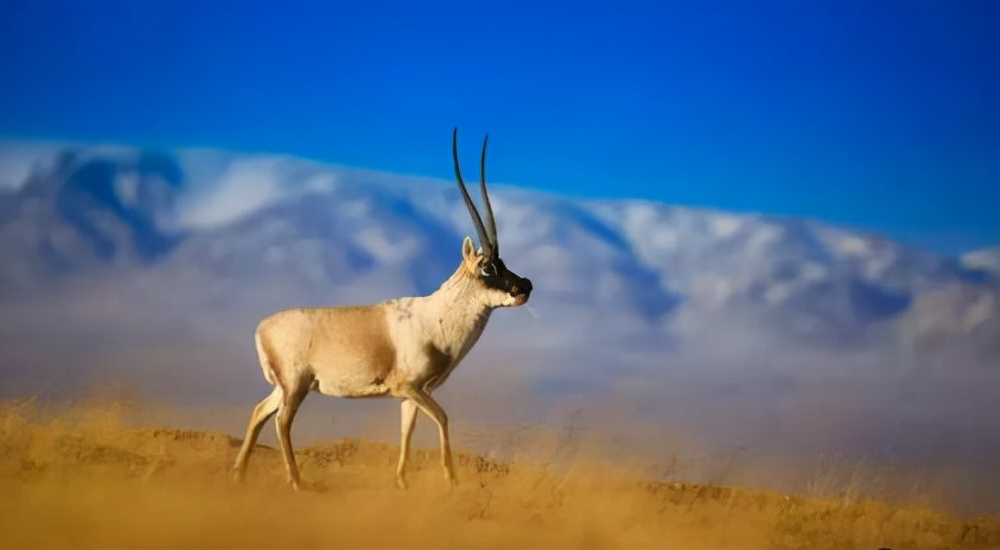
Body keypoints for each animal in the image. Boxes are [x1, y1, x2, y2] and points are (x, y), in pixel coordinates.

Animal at [231, 128, 533, 490]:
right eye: (487, 266)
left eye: (503, 262)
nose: (525, 287)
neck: (435, 317)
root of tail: (261, 328)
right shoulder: (409, 387)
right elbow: (443, 418)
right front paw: (450, 479)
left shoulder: (412, 394)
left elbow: (407, 430)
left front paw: (402, 482)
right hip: (296, 385)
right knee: (281, 421)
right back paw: (296, 481)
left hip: (284, 386)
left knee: (260, 411)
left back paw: (240, 474)